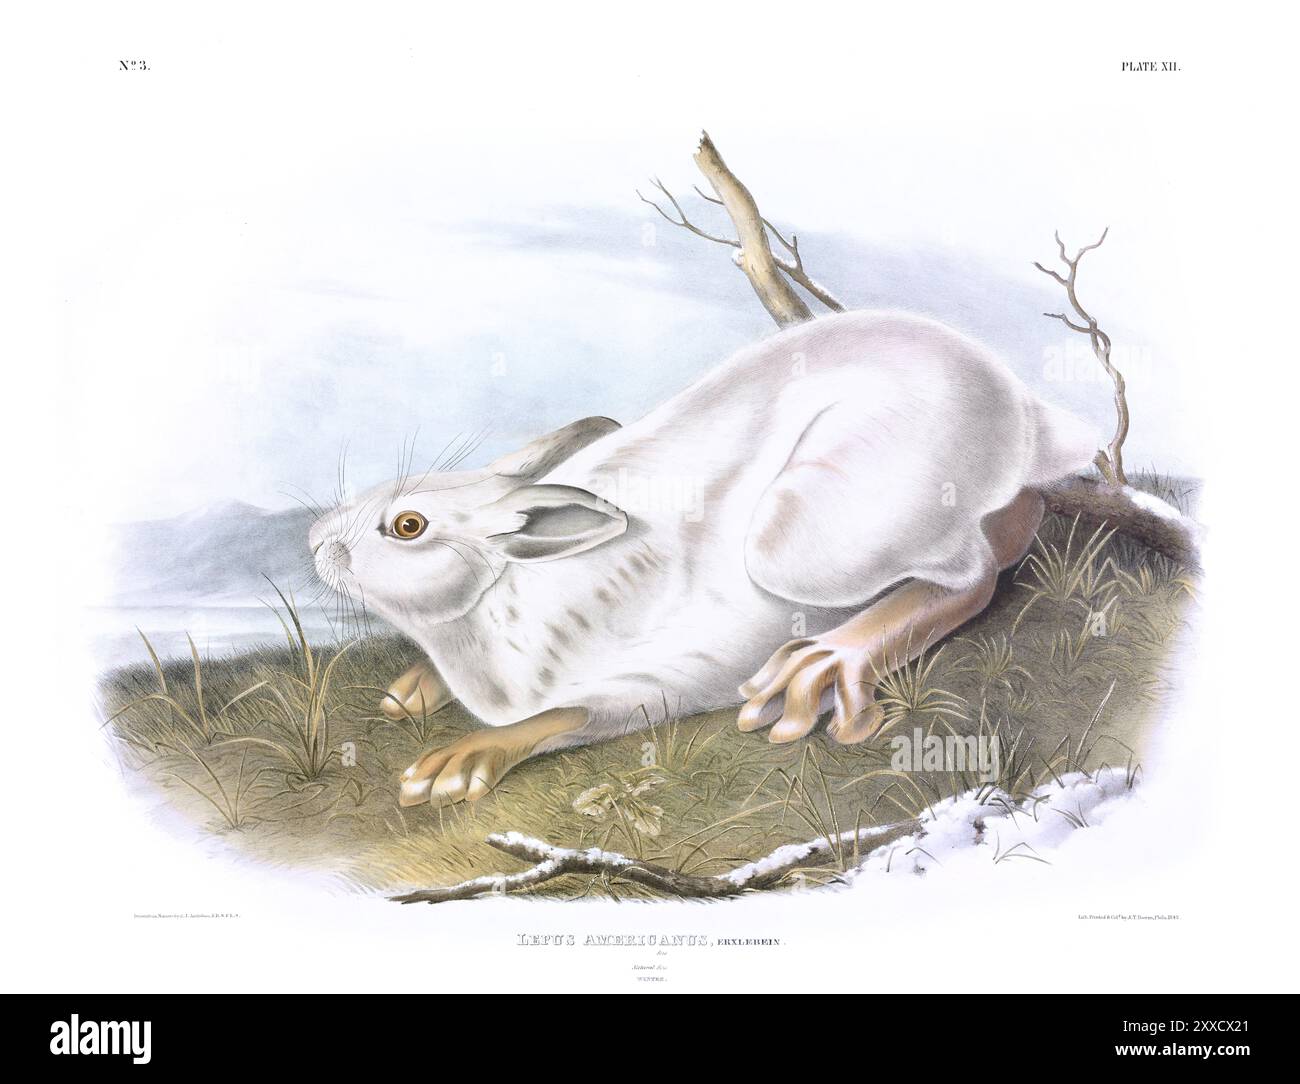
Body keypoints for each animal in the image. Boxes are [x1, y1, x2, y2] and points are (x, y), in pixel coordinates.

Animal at [308, 310, 1101, 807]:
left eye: (407, 525)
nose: (315, 541)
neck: (505, 593)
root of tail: (1025, 410)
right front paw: (413, 691)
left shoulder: (674, 673)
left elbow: (568, 715)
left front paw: (455, 766)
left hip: (808, 541)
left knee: (975, 571)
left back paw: (819, 667)